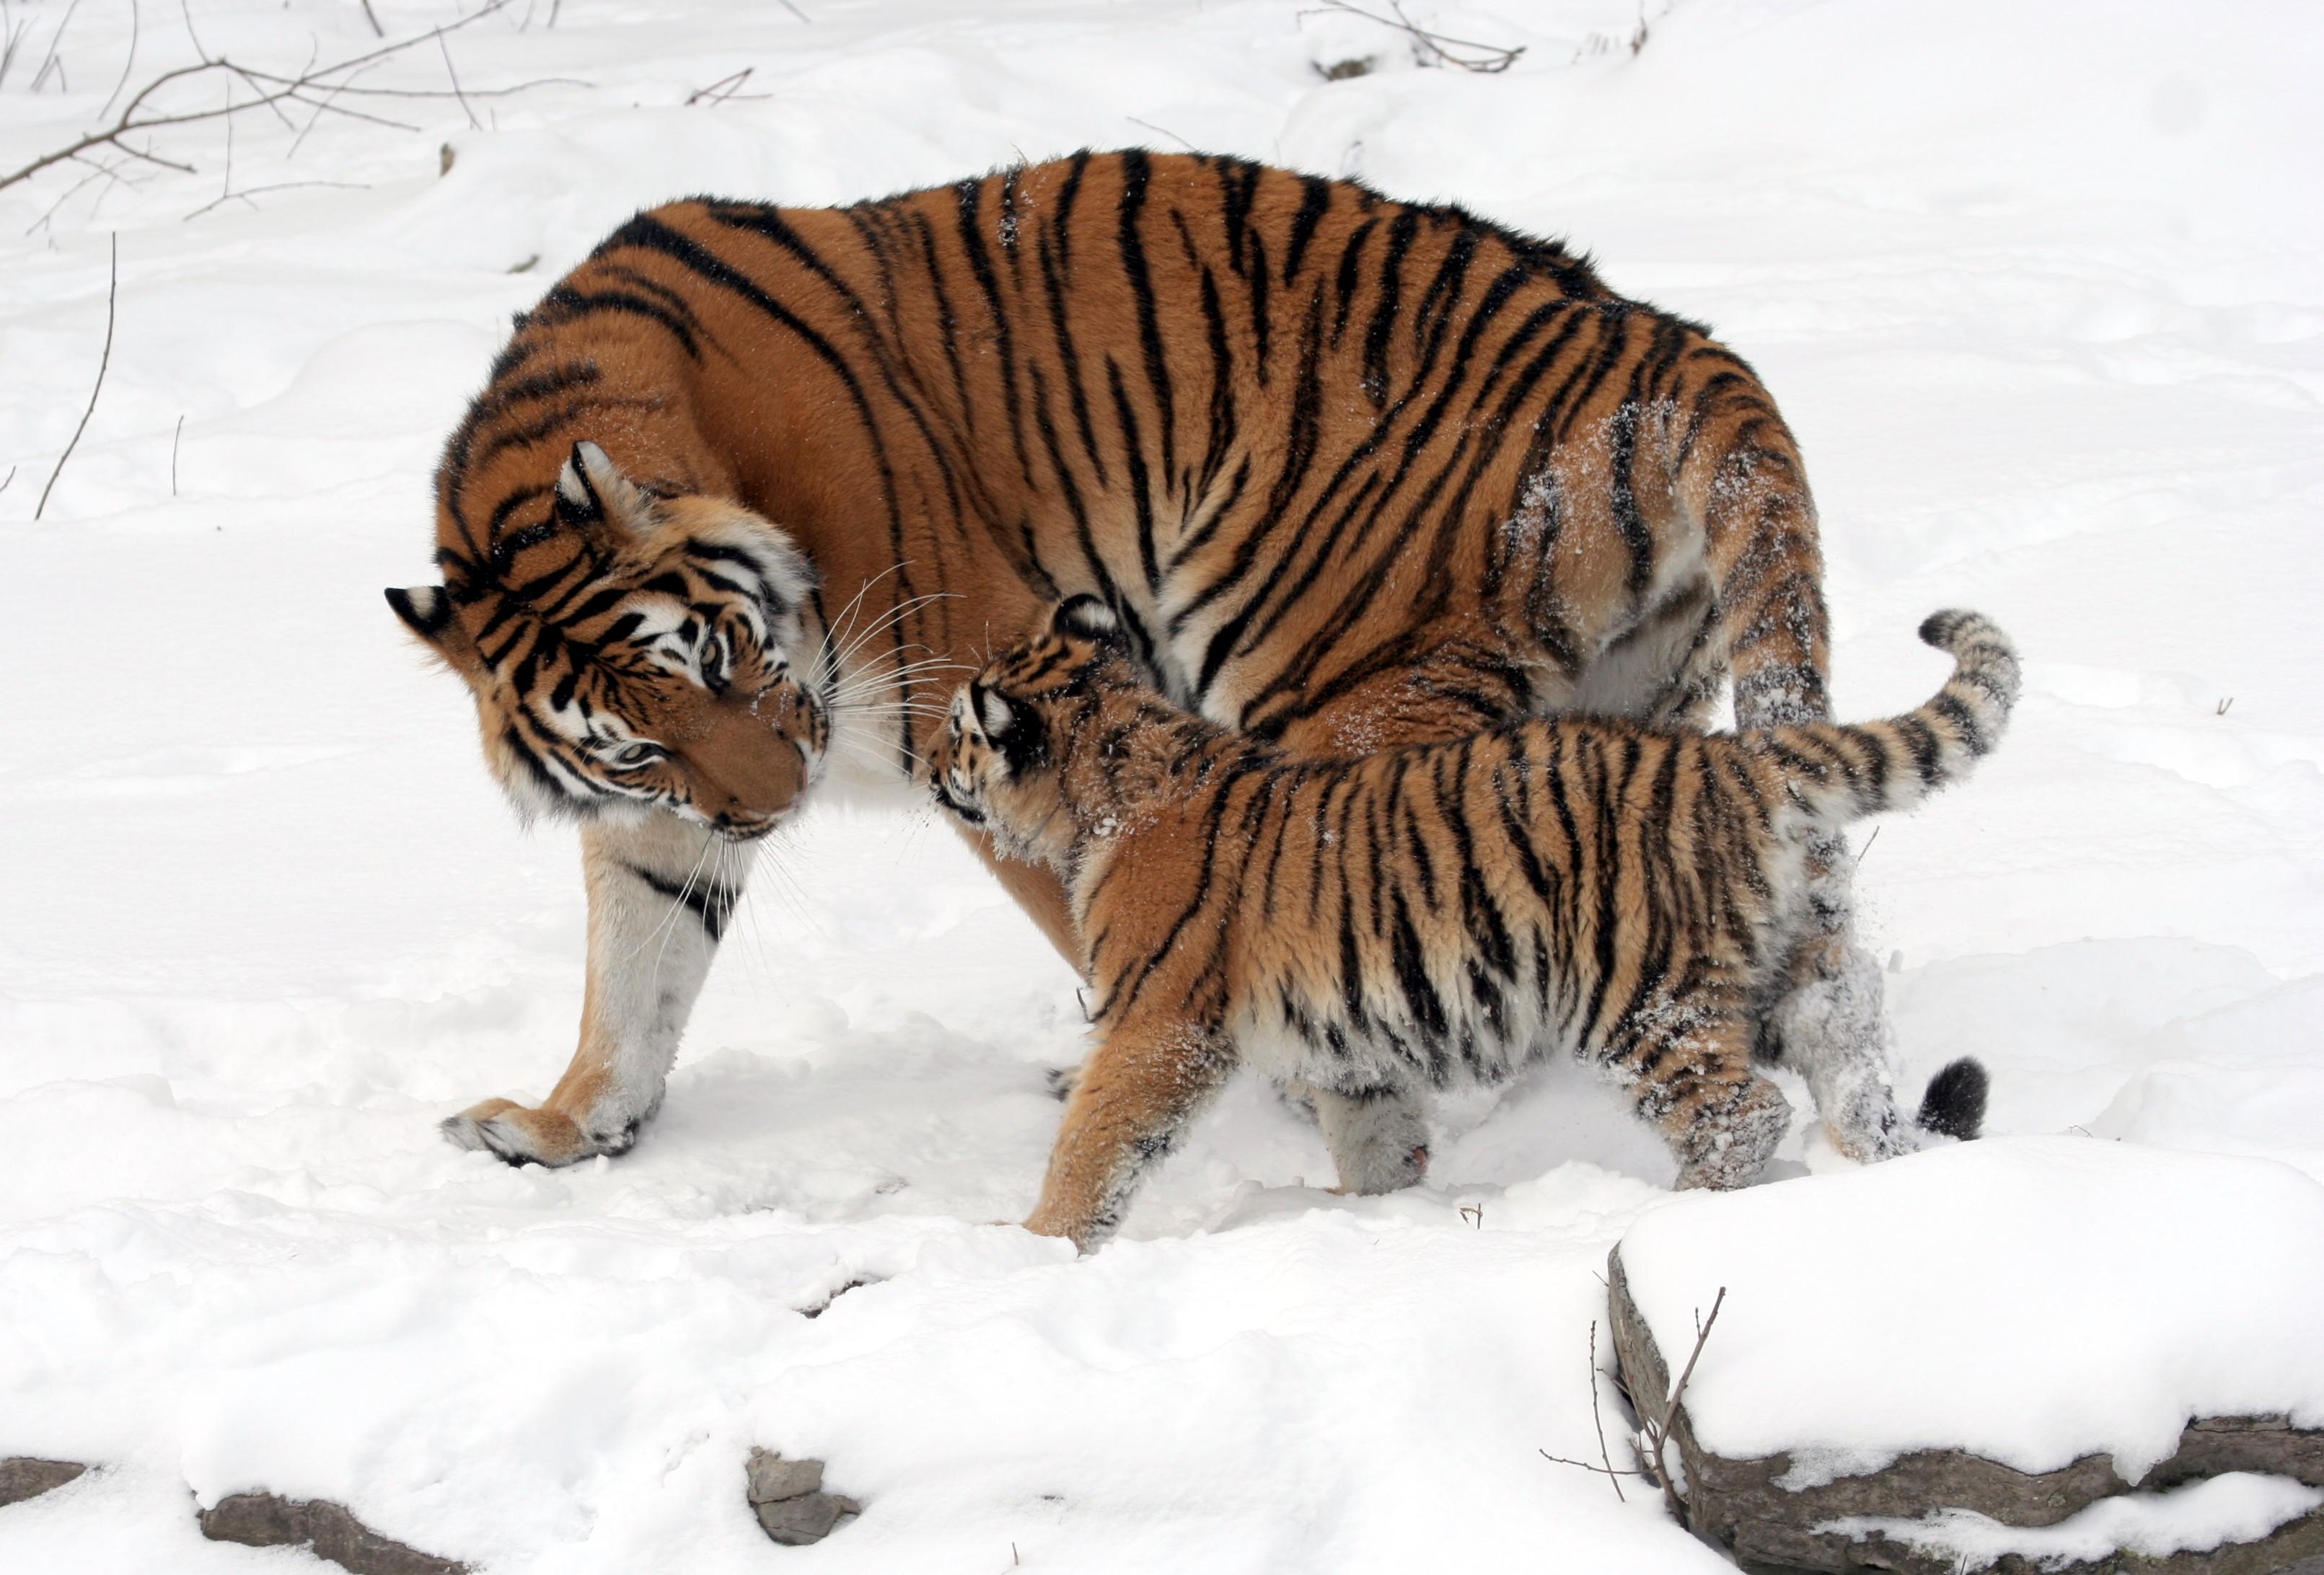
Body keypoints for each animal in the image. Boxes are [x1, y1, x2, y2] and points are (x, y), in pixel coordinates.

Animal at [389, 149, 1918, 1174]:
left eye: (716, 653)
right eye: (636, 737)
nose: (774, 805)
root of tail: (1666, 343)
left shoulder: (982, 689)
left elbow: (1114, 919)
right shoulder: (667, 812)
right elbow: (636, 962)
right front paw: (564, 1124)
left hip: (1334, 683)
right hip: (1625, 708)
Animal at [925, 597, 2014, 1248]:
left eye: (958, 732)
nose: (929, 766)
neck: (1115, 773)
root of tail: (1736, 759)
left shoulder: (1157, 1026)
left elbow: (1095, 1142)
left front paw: (1035, 1245)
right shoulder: (1348, 1044)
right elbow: (1373, 1136)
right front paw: (1366, 1212)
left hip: (1639, 997)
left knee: (1742, 1113)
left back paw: (1664, 1217)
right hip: (1790, 975)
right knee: (1852, 1066)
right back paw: (1880, 1175)